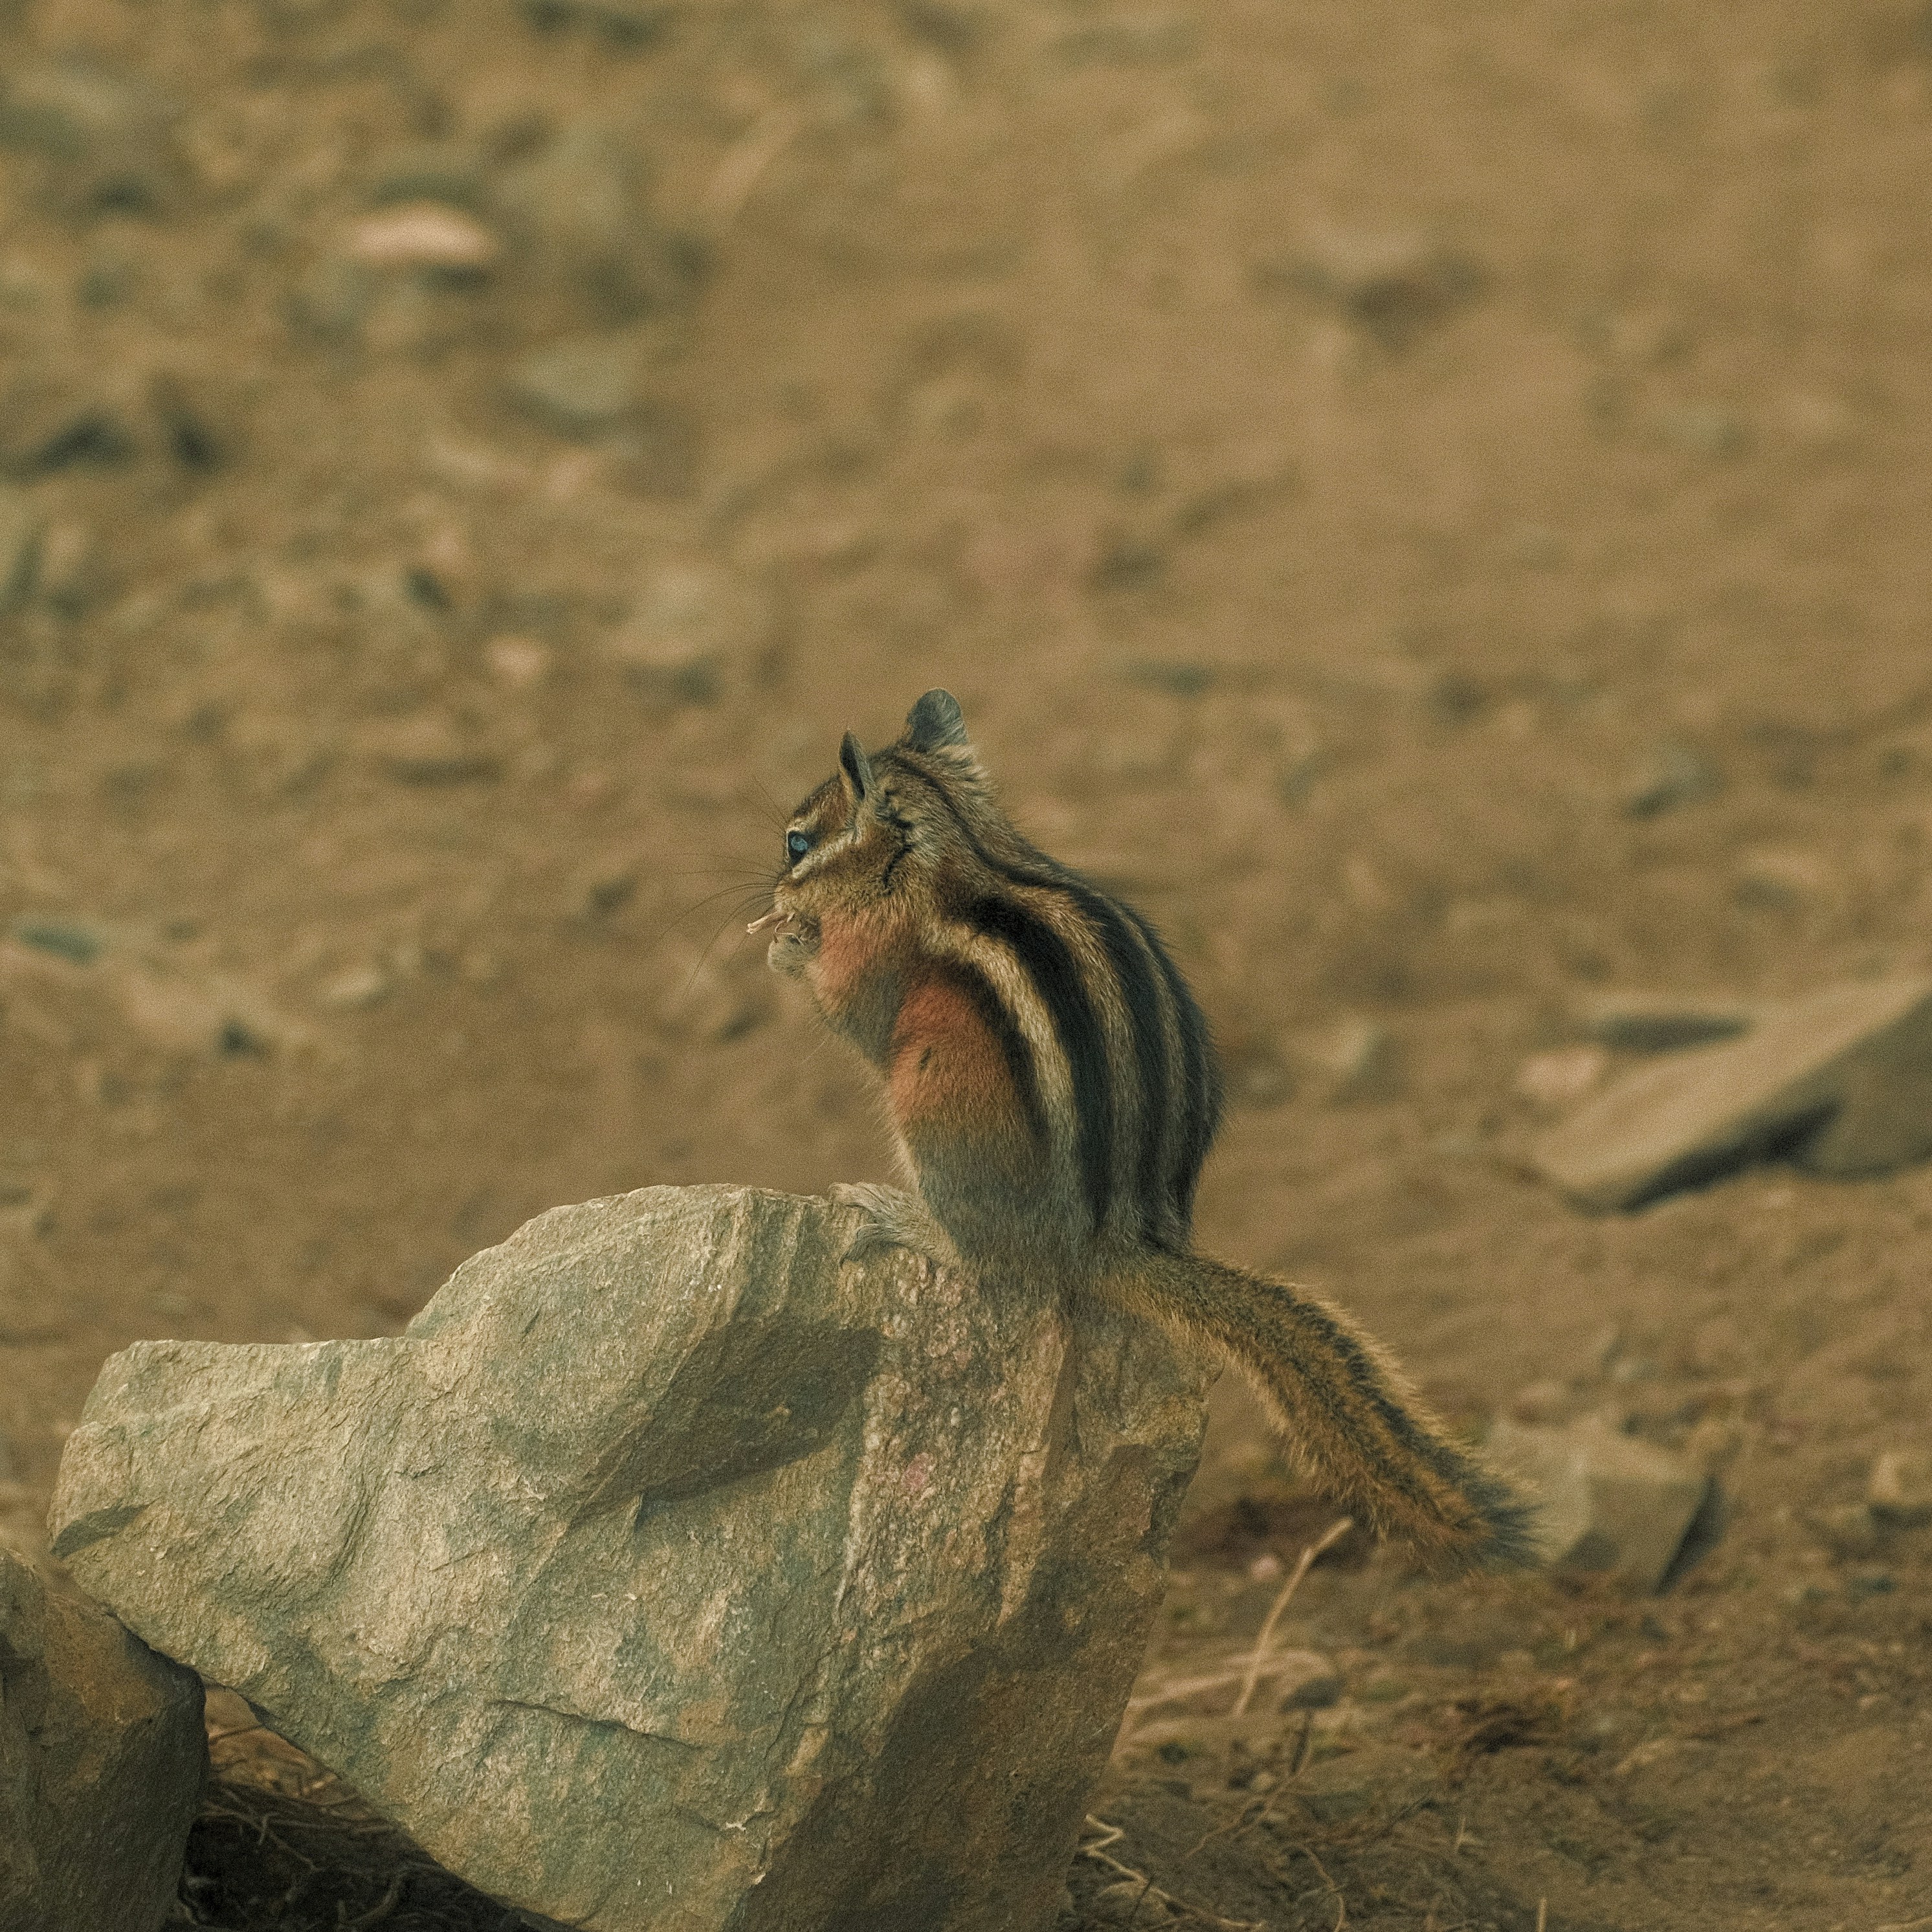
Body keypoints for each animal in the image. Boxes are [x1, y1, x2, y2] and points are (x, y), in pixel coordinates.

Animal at [750, 688, 1533, 1572]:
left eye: (798, 841)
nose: (772, 893)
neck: (954, 848)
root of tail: (1113, 1240)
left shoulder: (880, 961)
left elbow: (853, 1009)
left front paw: (790, 947)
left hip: (935, 1110)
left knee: (990, 1258)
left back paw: (901, 1217)